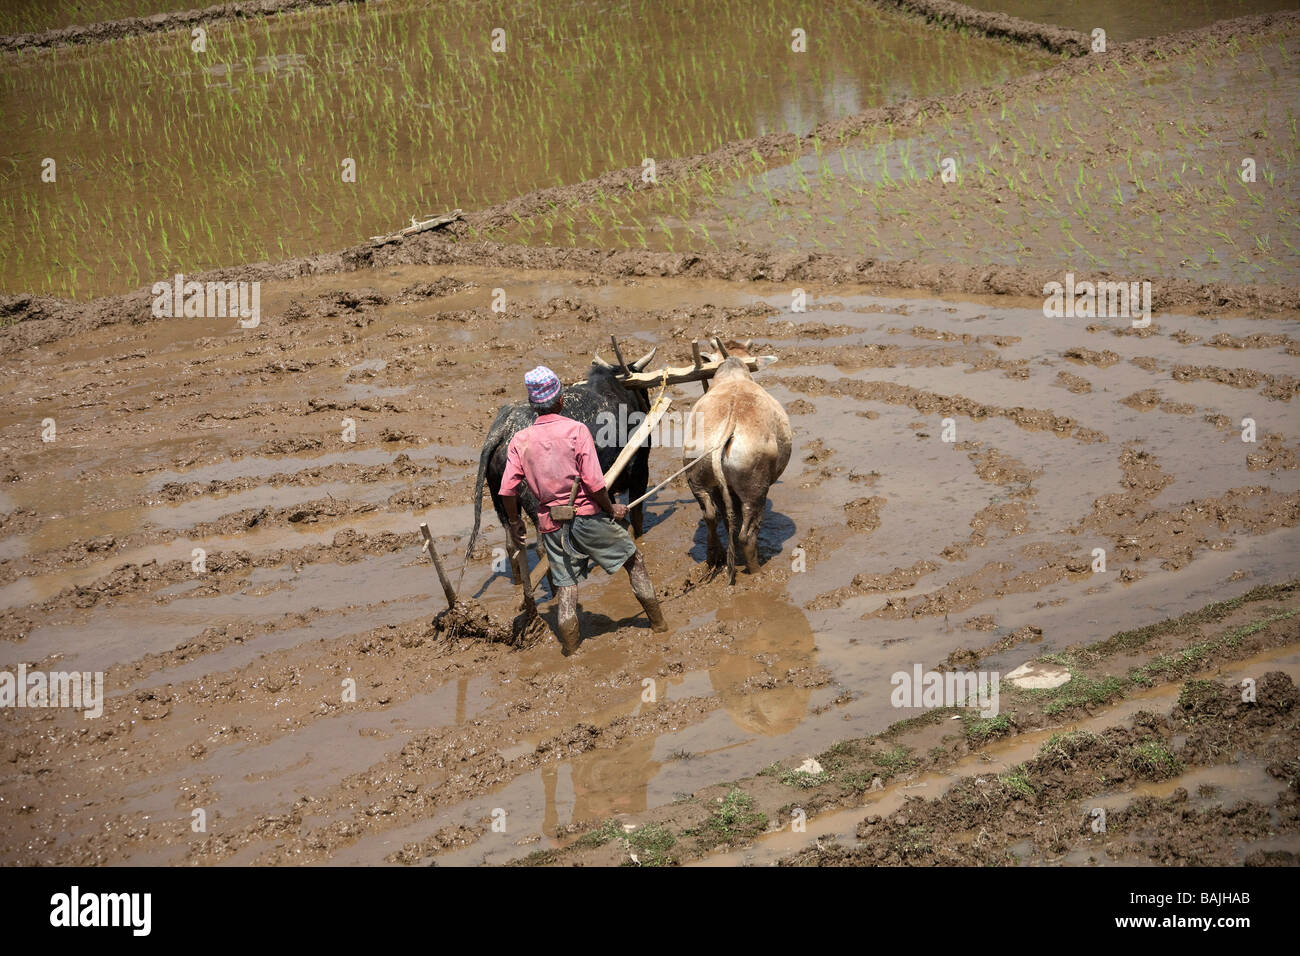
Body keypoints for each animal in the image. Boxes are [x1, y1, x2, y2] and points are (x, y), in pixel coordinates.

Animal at [683, 343, 792, 584]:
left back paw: (714, 556)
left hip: (698, 478)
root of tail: (728, 425)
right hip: (755, 489)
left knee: (711, 516)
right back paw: (757, 572)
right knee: (746, 535)